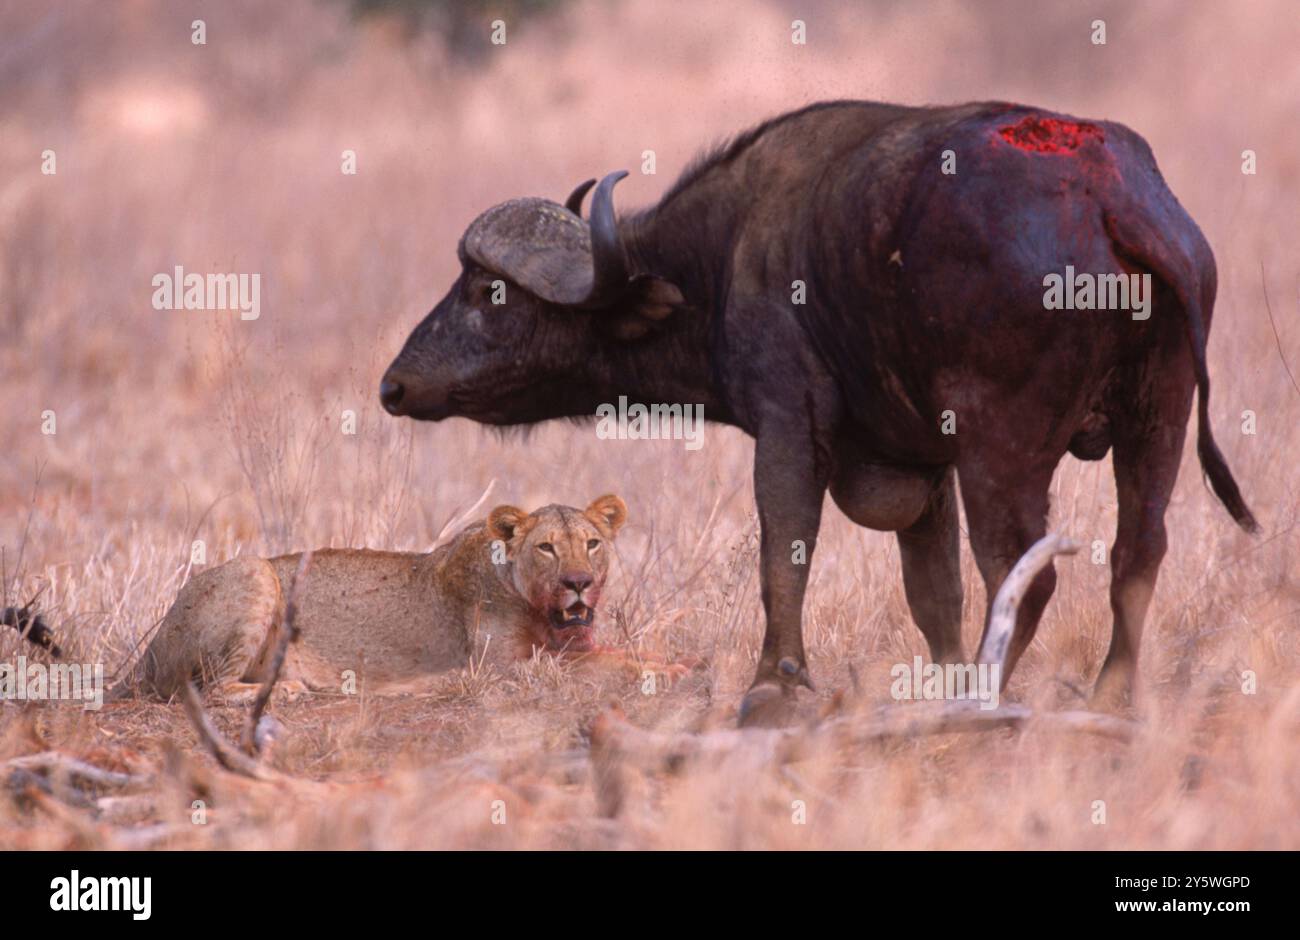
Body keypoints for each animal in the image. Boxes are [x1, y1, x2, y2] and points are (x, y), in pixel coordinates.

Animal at [107, 494, 688, 702]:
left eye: (591, 544)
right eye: (546, 547)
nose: (578, 582)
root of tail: (144, 658)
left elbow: (626, 653)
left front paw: (683, 663)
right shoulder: (506, 669)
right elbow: (610, 667)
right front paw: (671, 673)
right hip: (254, 573)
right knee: (204, 689)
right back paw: (288, 689)